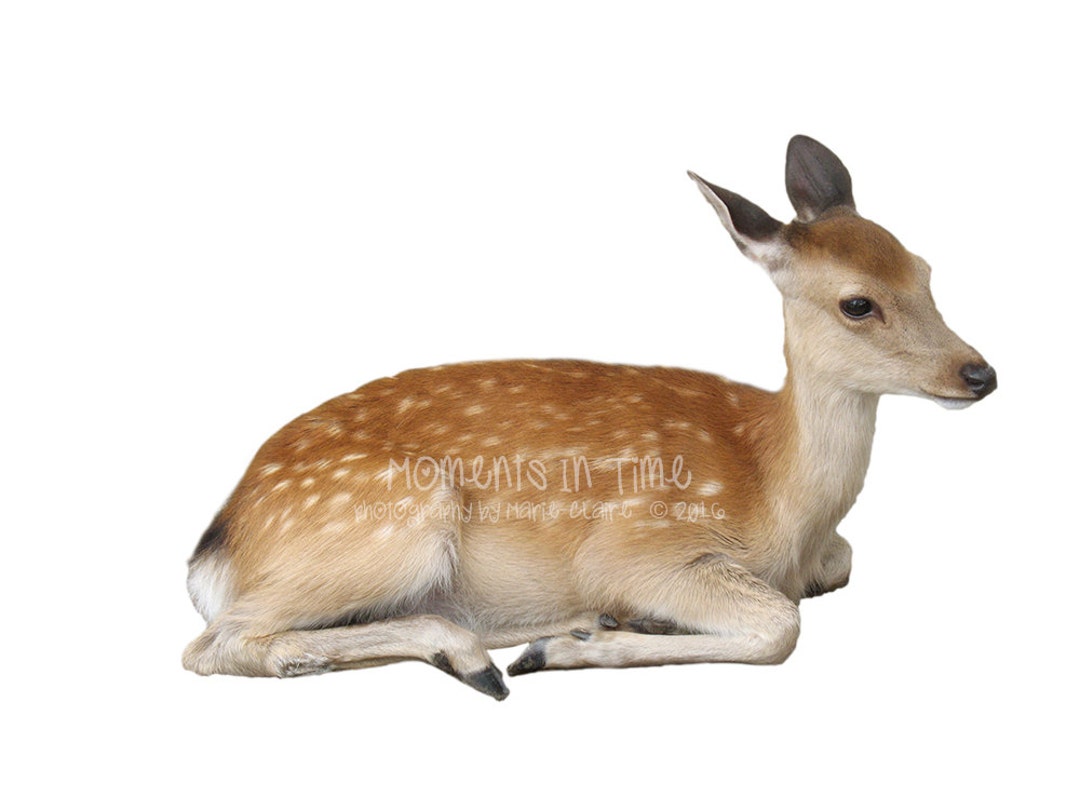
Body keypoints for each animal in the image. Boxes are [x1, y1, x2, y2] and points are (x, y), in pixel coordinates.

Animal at [183, 135, 996, 700]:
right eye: (858, 302)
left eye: (925, 271)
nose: (979, 373)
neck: (783, 500)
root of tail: (214, 548)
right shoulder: (639, 542)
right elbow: (781, 626)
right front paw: (582, 646)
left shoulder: (823, 554)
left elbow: (841, 565)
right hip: (395, 519)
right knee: (216, 645)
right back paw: (486, 655)